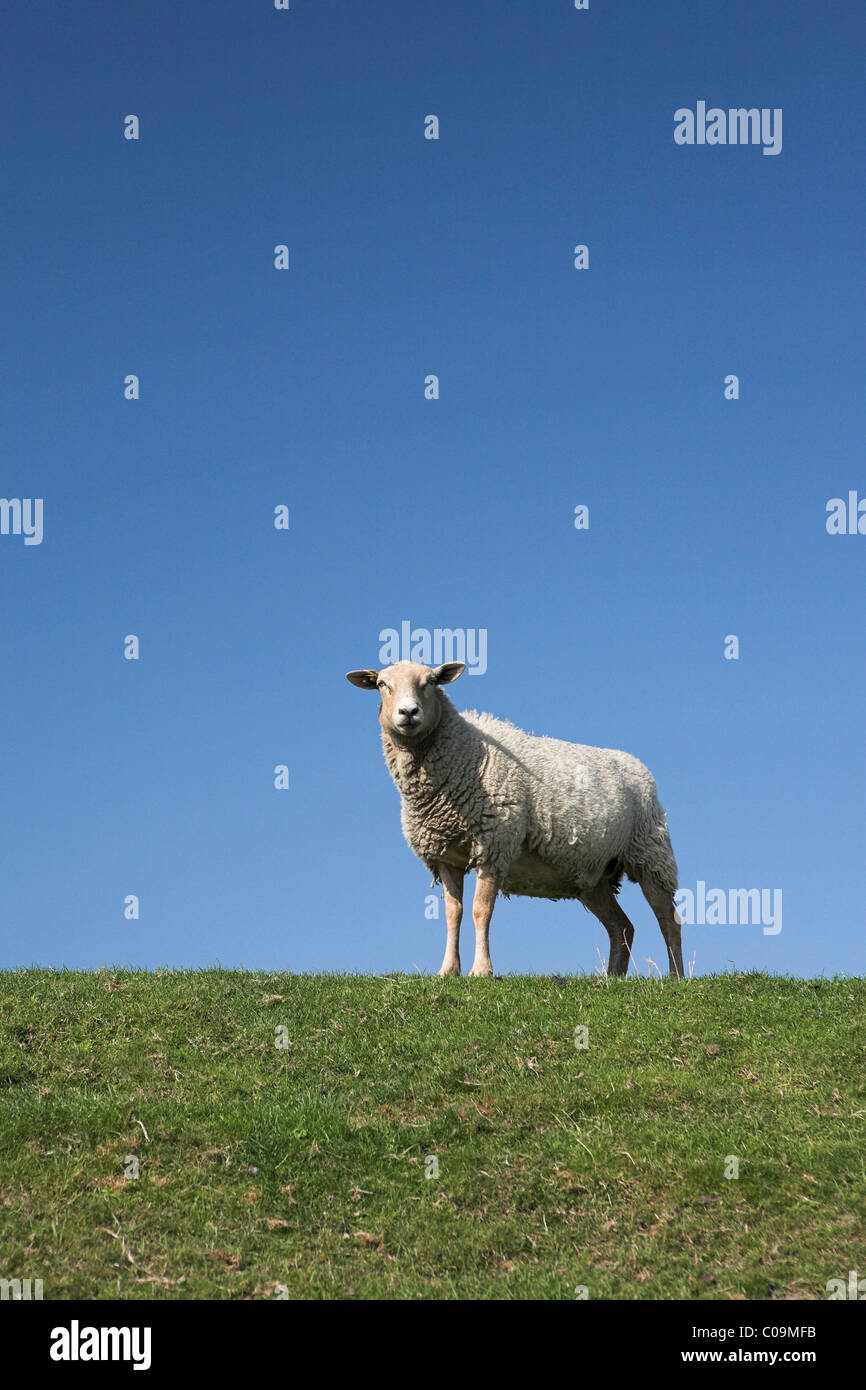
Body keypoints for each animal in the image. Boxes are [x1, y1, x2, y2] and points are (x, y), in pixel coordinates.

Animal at [346, 660, 684, 979]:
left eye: (430, 681)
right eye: (382, 684)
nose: (408, 712)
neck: (464, 753)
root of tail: (636, 764)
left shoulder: (494, 844)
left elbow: (481, 911)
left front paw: (481, 970)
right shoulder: (445, 856)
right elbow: (453, 913)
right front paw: (448, 970)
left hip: (650, 852)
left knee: (668, 918)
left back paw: (676, 976)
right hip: (594, 876)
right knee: (622, 927)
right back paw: (613, 977)